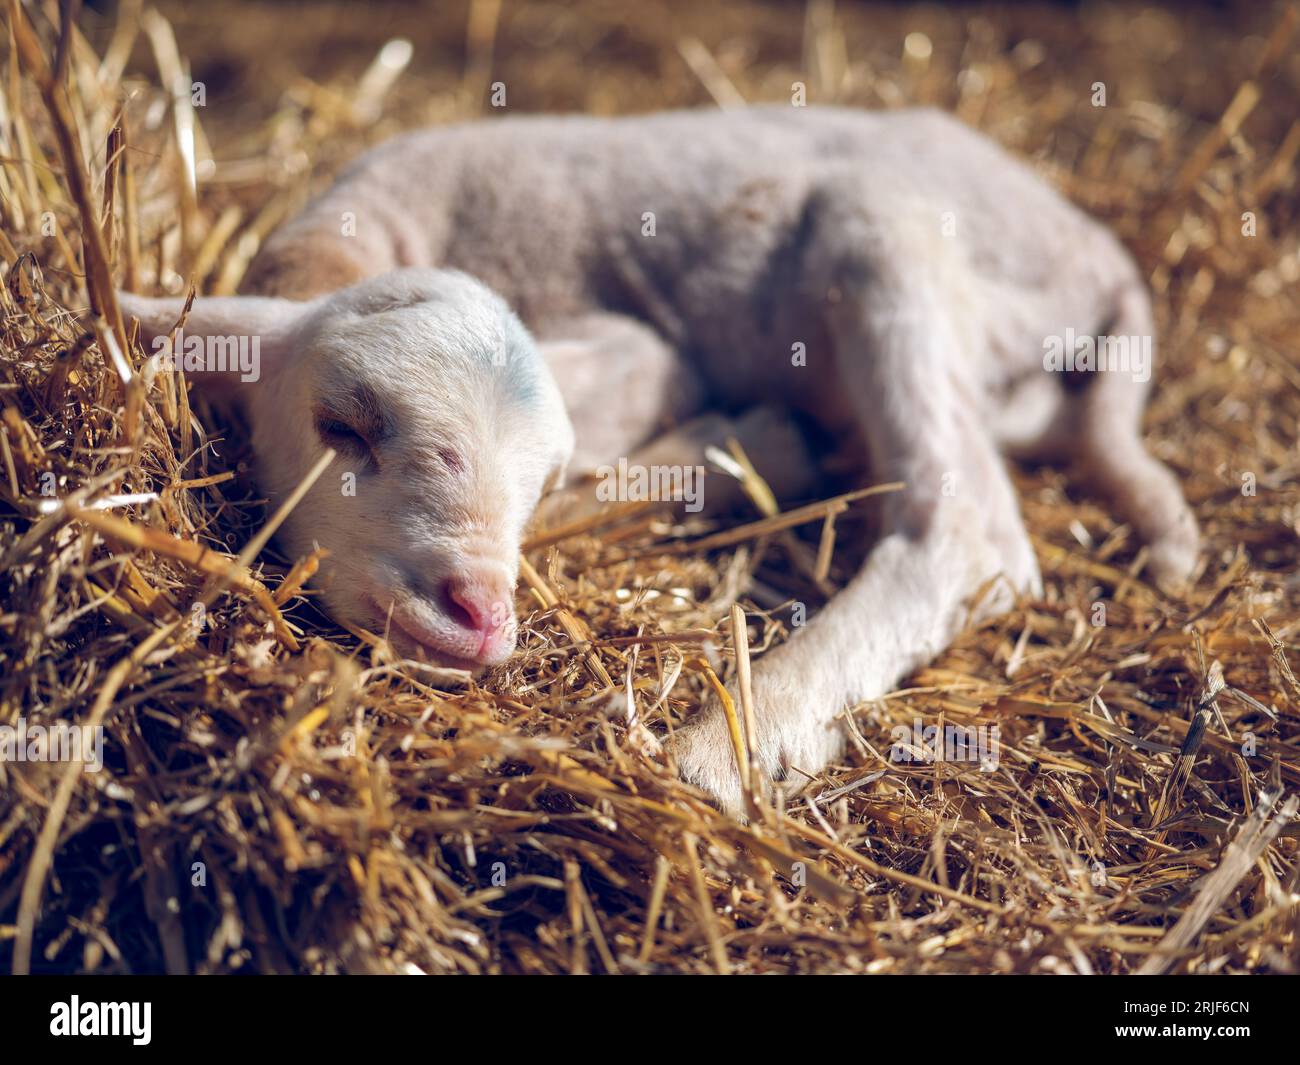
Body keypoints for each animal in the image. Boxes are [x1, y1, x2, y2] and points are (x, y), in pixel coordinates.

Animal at [119, 104, 1199, 815]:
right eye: (341, 425)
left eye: (536, 479)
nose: (478, 613)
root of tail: (1095, 248)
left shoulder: (644, 351)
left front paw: (747, 447)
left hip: (889, 235)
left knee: (967, 529)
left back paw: (728, 744)